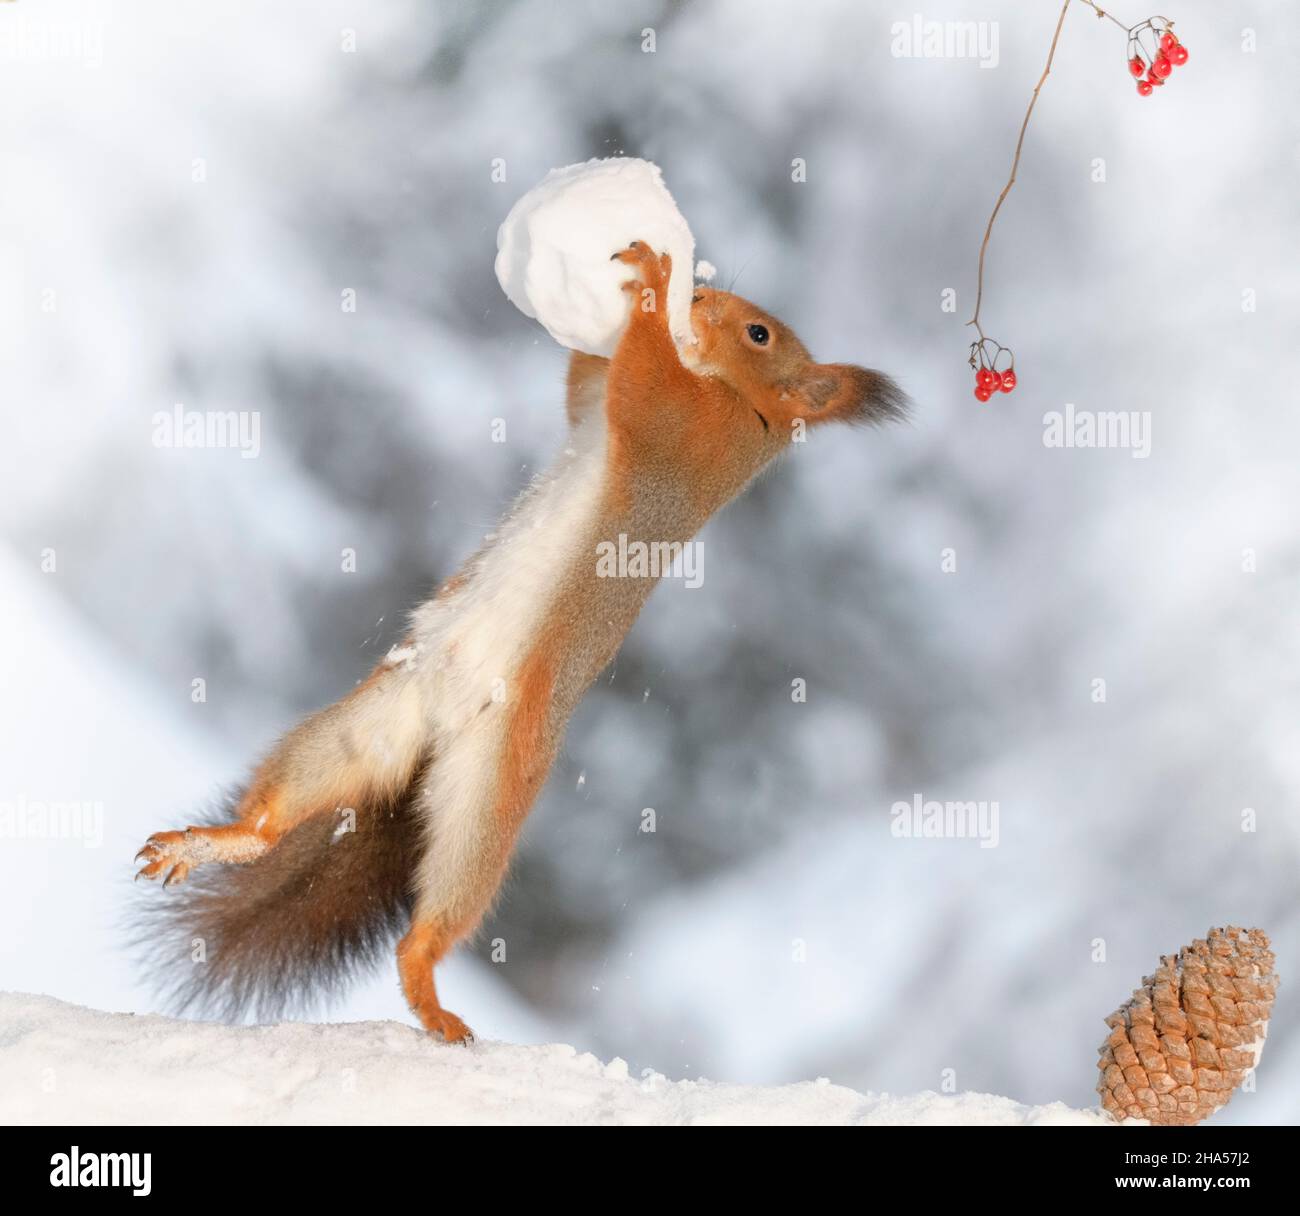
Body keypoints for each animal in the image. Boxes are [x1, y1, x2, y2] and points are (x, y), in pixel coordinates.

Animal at [135, 240, 905, 1041]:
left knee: (440, 914)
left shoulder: (690, 433)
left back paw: (429, 994)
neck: (750, 413)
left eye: (759, 335)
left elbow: (648, 385)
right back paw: (208, 842)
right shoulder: (599, 411)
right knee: (274, 819)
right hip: (360, 730)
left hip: (489, 793)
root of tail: (433, 746)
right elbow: (587, 383)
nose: (705, 298)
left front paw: (655, 280)